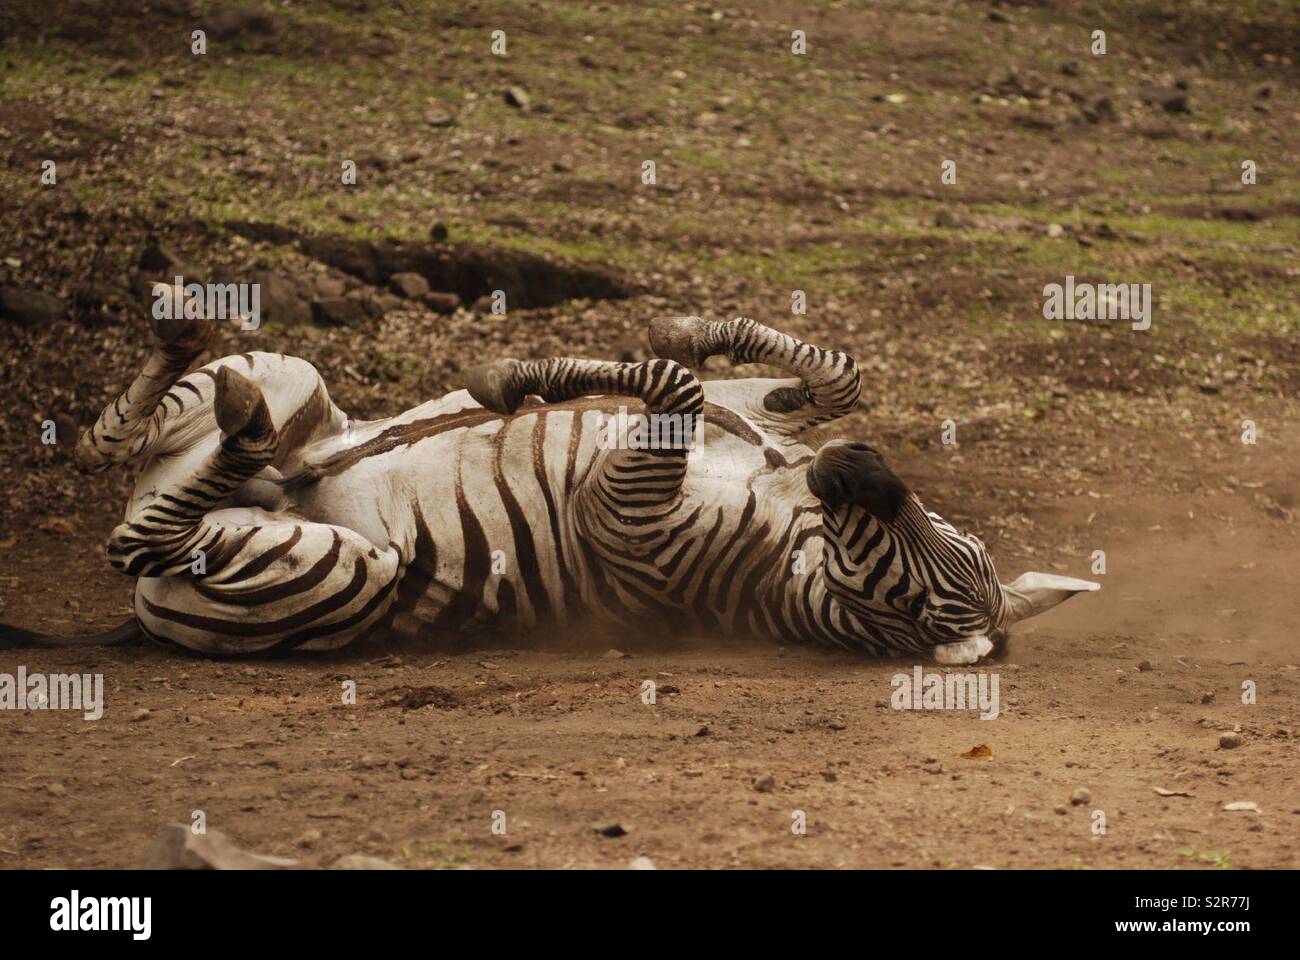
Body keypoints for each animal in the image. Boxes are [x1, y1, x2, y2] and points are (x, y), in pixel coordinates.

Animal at [0, 309, 1097, 662]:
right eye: (958, 544)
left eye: (917, 600)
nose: (856, 469)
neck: (794, 521)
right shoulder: (758, 412)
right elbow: (823, 370)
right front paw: (664, 333)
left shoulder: (620, 515)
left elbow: (673, 385)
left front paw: (512, 378)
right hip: (294, 374)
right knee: (107, 445)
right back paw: (194, 353)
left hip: (346, 571)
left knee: (133, 534)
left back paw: (243, 435)